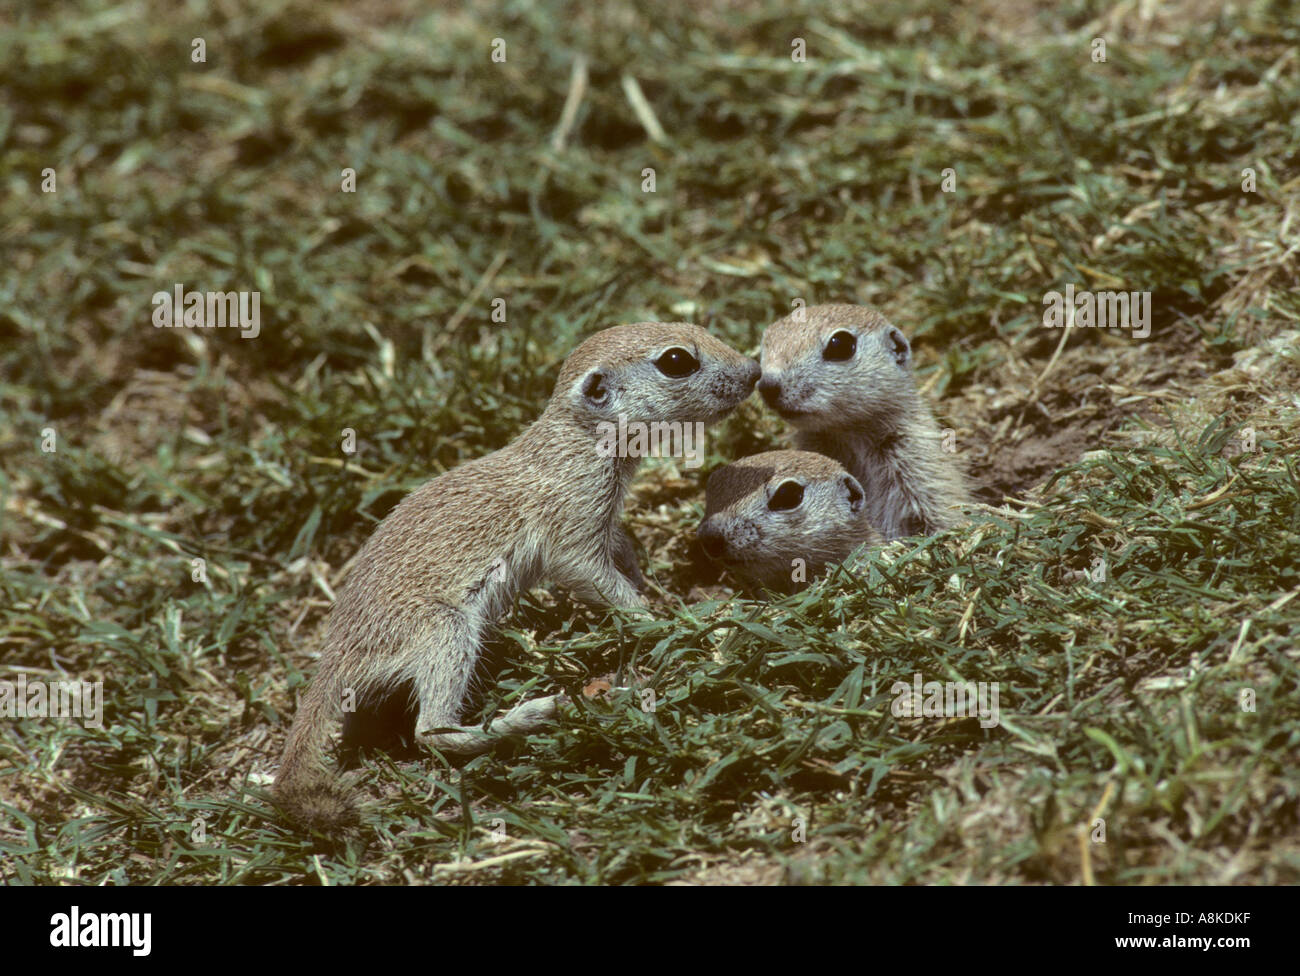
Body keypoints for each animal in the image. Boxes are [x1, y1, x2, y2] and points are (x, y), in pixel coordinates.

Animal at [274, 323, 760, 832]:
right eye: (676, 360)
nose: (755, 370)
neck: (575, 441)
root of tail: (333, 658)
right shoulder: (574, 519)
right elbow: (588, 572)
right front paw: (665, 620)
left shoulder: (605, 520)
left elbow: (620, 551)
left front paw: (656, 588)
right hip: (443, 628)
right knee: (431, 732)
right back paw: (531, 714)